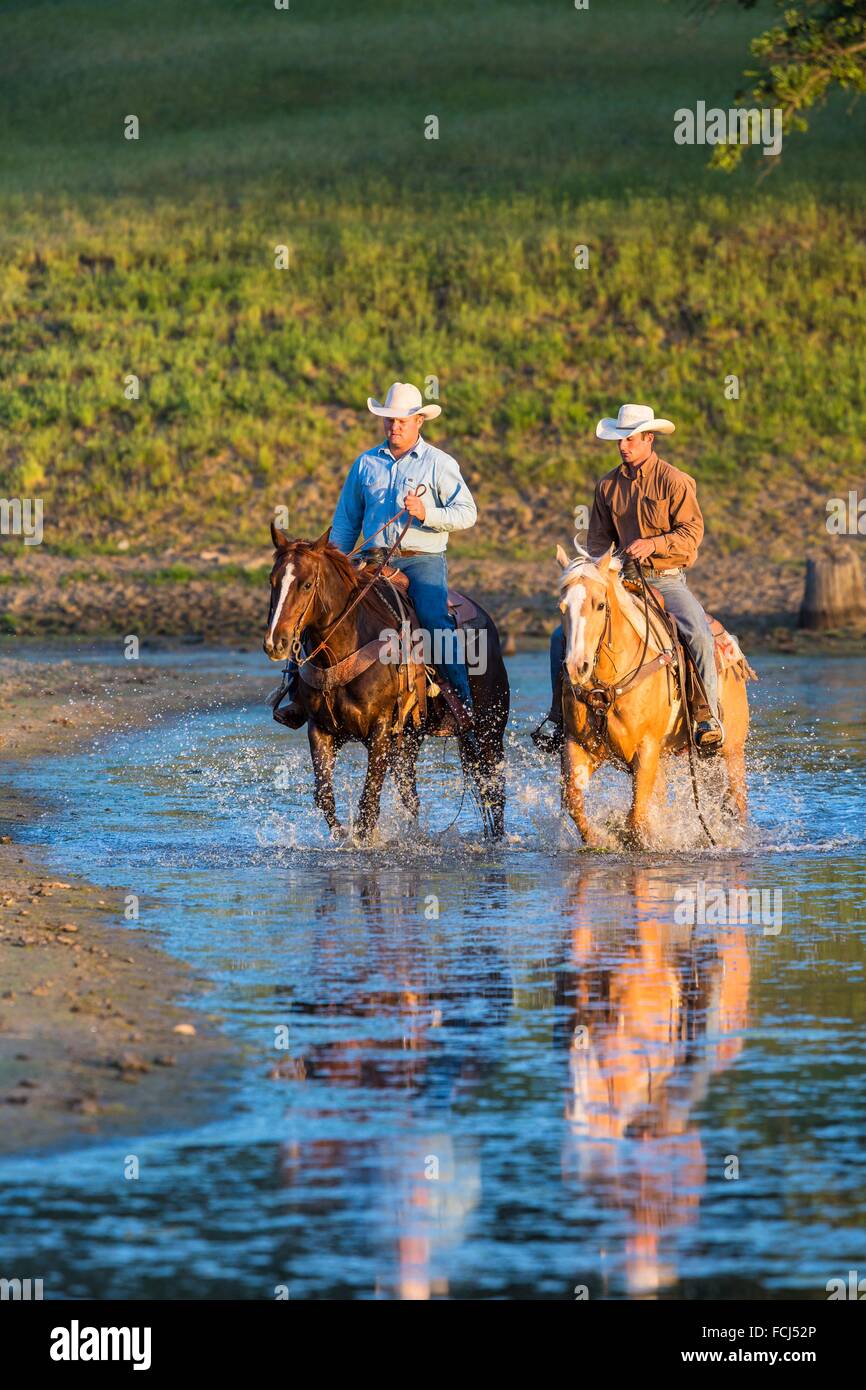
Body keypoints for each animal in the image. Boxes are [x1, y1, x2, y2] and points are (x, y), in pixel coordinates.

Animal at [263, 524, 510, 842]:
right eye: (272, 581)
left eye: (306, 585)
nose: (275, 643)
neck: (344, 647)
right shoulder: (320, 729)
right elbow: (325, 796)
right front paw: (343, 835)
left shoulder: (379, 730)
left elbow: (369, 801)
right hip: (410, 738)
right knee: (412, 794)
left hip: (489, 729)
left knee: (493, 787)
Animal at [554, 543, 752, 848]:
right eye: (562, 607)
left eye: (600, 605)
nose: (576, 668)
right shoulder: (578, 745)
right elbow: (574, 800)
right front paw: (602, 839)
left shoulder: (645, 750)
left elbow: (636, 817)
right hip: (673, 756)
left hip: (730, 751)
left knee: (737, 803)